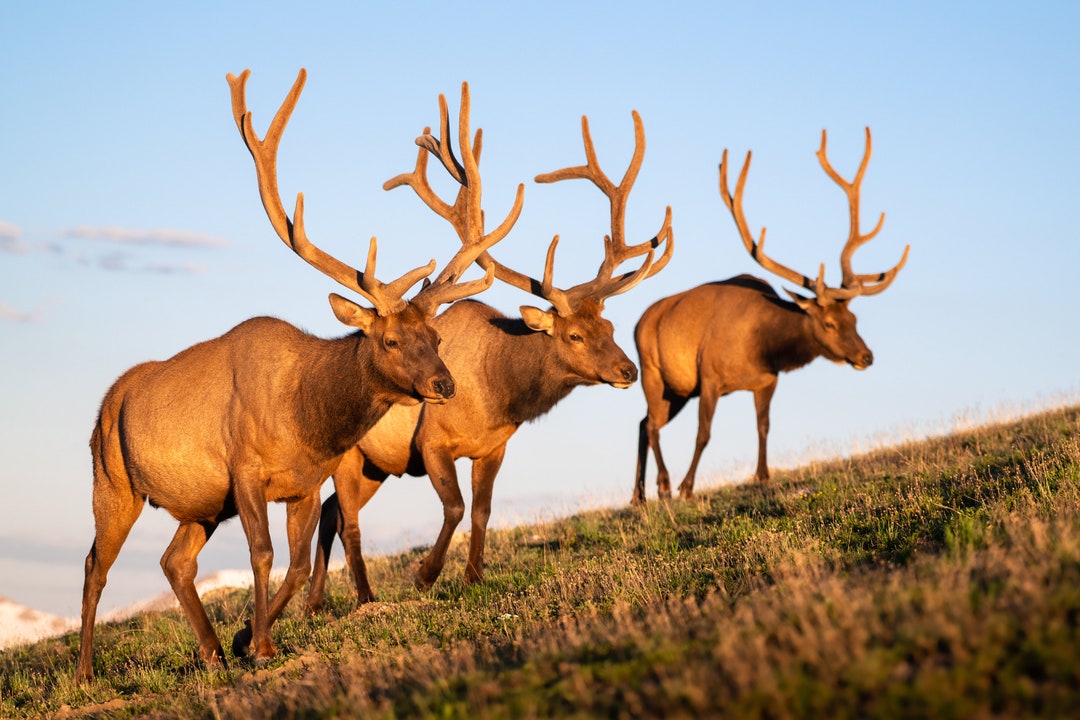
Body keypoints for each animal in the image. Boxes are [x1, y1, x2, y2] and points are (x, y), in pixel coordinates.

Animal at [75, 69, 522, 682]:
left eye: (435, 338)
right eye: (389, 340)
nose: (444, 385)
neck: (306, 417)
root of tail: (105, 406)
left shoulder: (306, 482)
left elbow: (298, 562)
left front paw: (246, 637)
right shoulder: (244, 470)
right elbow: (263, 554)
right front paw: (262, 645)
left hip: (201, 505)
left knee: (174, 561)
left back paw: (211, 651)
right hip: (113, 480)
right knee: (95, 563)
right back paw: (83, 672)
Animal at [303, 109, 672, 612]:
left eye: (612, 327)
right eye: (574, 335)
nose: (628, 370)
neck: (497, 395)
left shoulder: (494, 447)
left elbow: (482, 508)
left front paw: (473, 576)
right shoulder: (431, 441)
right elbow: (456, 506)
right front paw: (426, 575)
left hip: (376, 465)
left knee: (329, 511)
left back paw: (313, 602)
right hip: (351, 455)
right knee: (346, 520)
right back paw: (363, 596)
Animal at [632, 127, 909, 505]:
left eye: (855, 320)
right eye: (829, 323)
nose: (866, 356)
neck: (762, 346)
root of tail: (639, 322)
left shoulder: (767, 380)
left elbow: (763, 425)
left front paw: (762, 475)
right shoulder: (711, 376)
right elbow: (704, 433)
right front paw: (687, 487)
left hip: (678, 391)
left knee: (642, 423)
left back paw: (638, 495)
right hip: (653, 373)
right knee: (652, 425)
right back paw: (662, 485)